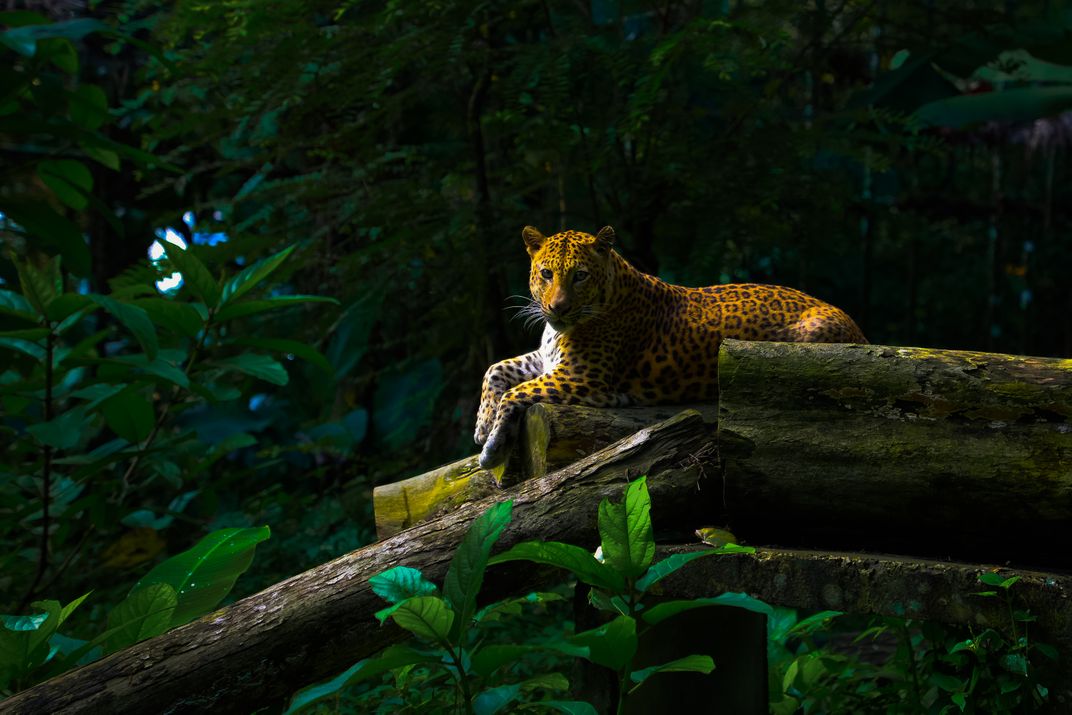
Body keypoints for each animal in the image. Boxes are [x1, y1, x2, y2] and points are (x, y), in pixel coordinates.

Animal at [475, 225, 867, 470]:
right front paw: (482, 425)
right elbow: (496, 369)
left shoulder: (581, 377)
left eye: (580, 275)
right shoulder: (546, 361)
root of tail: (860, 332)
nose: (557, 307)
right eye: (546, 274)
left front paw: (492, 450)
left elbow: (516, 392)